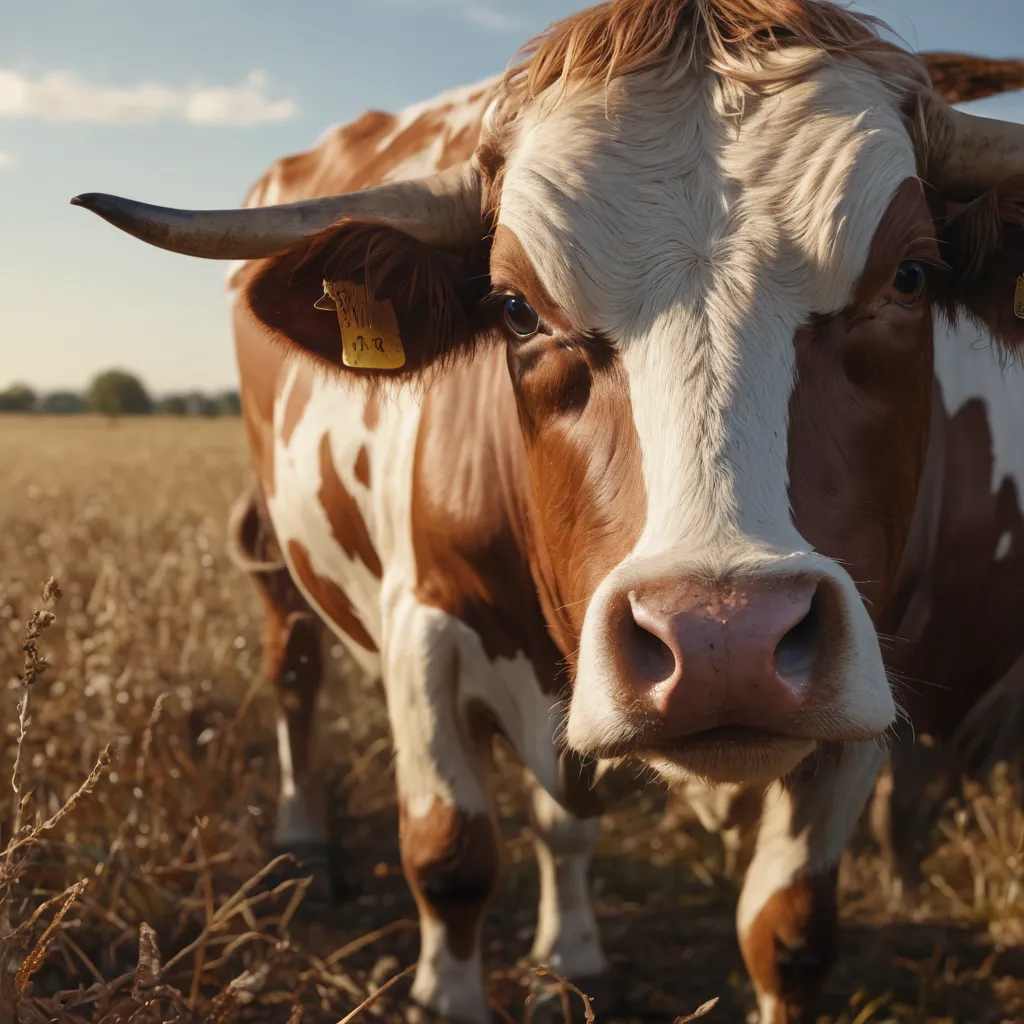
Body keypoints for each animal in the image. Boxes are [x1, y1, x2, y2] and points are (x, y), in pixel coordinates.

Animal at [72, 2, 1024, 1021]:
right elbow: (450, 857)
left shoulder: (865, 685)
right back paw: (302, 838)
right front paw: (446, 992)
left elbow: (788, 930)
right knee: (294, 668)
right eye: (516, 308)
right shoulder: (423, 632)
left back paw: (570, 951)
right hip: (277, 548)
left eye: (911, 277)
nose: (724, 642)